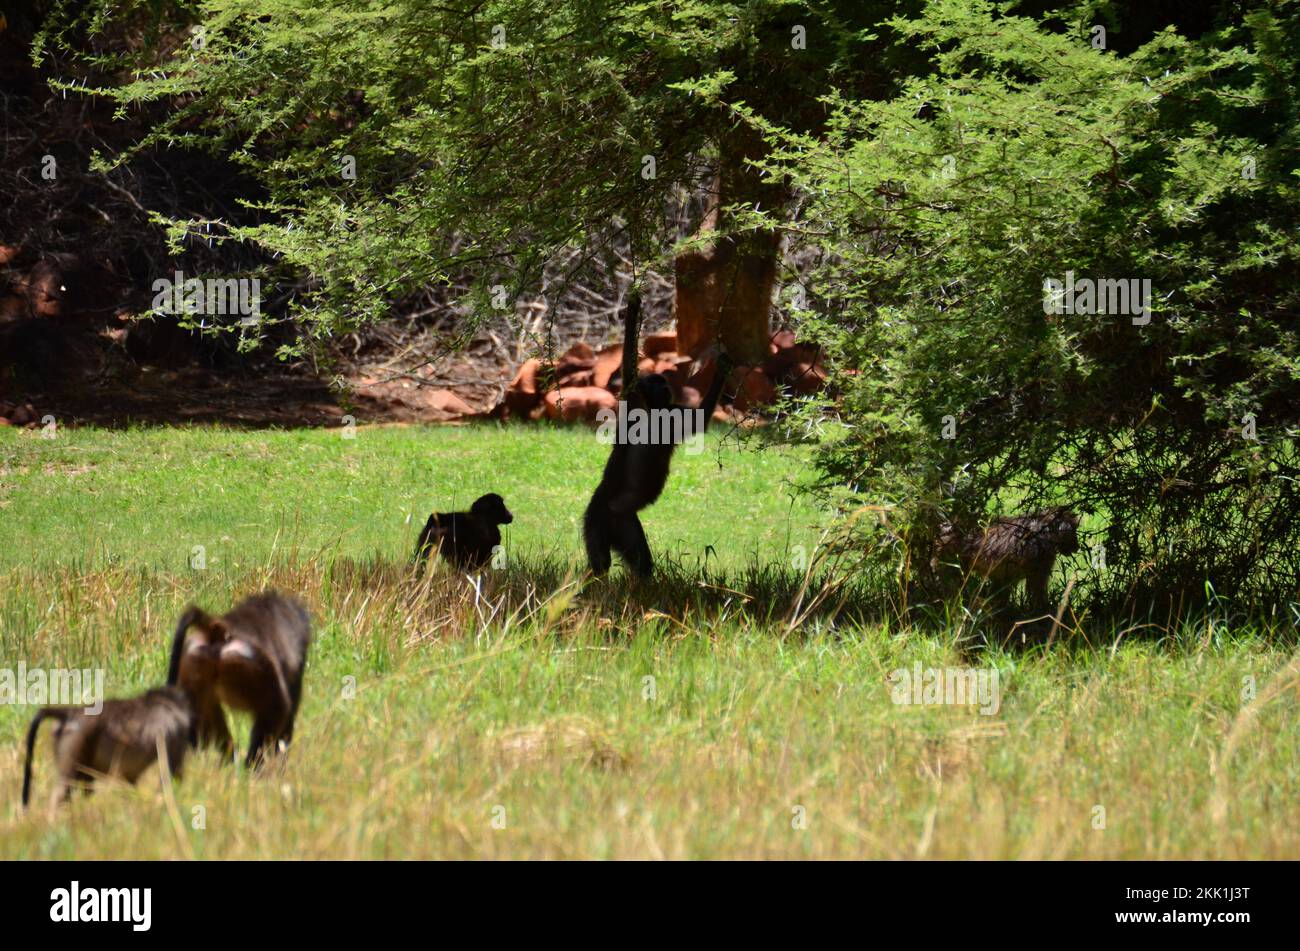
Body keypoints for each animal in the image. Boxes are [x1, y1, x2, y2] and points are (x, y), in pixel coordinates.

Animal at [583, 355, 732, 578]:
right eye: (657, 382)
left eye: (664, 381)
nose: (665, 387)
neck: (655, 415)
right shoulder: (634, 411)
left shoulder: (674, 411)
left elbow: (701, 418)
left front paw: (723, 367)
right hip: (597, 516)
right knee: (600, 563)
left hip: (624, 524)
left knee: (638, 563)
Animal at [931, 507, 1081, 618]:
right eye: (1073, 530)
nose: (1077, 547)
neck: (1046, 527)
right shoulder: (1038, 569)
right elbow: (1037, 592)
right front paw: (1044, 612)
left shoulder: (1004, 576)